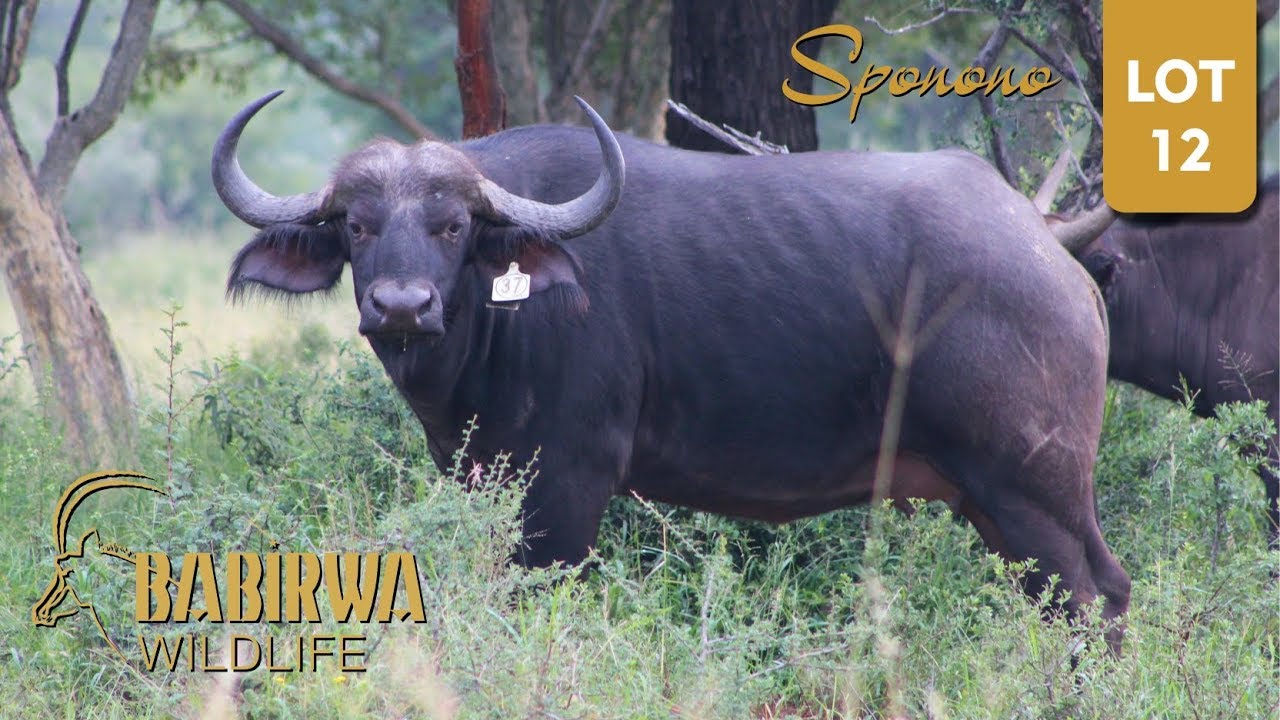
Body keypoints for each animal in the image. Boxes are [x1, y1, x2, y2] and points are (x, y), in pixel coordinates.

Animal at [212, 91, 1131, 647]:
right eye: (357, 225)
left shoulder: (567, 485)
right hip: (995, 500)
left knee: (1090, 600)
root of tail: (1054, 259)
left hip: (1031, 490)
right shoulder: (482, 475)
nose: (402, 306)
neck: (498, 319)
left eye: (452, 226)